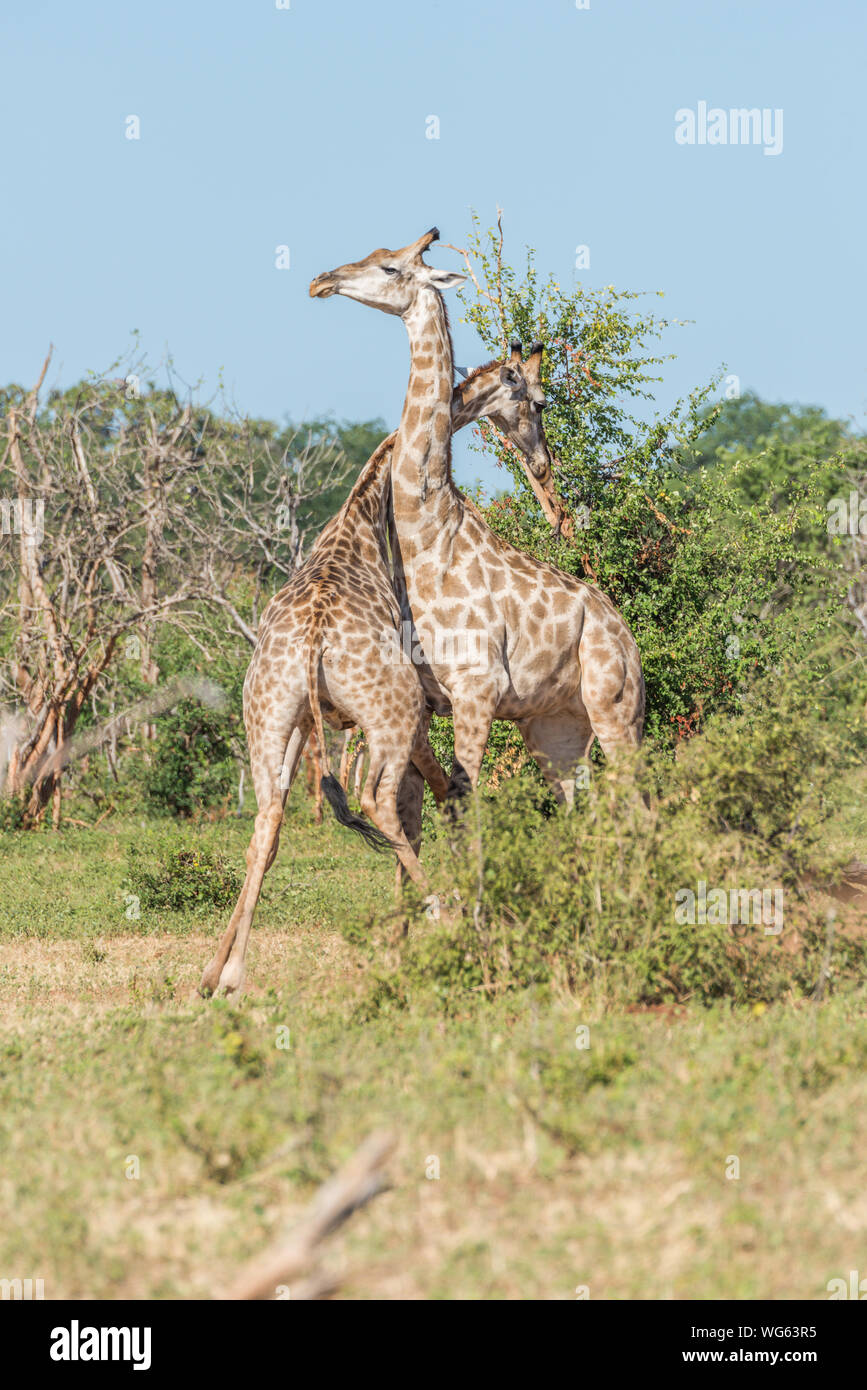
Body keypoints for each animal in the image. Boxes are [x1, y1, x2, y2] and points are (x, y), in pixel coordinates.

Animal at [198, 335, 555, 997]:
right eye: (538, 401)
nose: (544, 468)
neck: (365, 512)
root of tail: (314, 637)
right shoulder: (421, 704)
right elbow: (441, 794)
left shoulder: (310, 722)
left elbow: (274, 832)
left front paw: (220, 969)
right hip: (389, 712)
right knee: (376, 801)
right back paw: (445, 913)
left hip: (268, 715)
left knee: (267, 815)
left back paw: (225, 973)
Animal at [309, 229, 645, 810]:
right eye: (376, 257)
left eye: (392, 268)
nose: (320, 281)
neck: (429, 534)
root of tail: (628, 638)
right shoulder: (430, 696)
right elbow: (434, 796)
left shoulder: (476, 689)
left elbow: (463, 798)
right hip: (555, 724)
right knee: (583, 806)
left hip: (616, 706)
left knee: (642, 800)